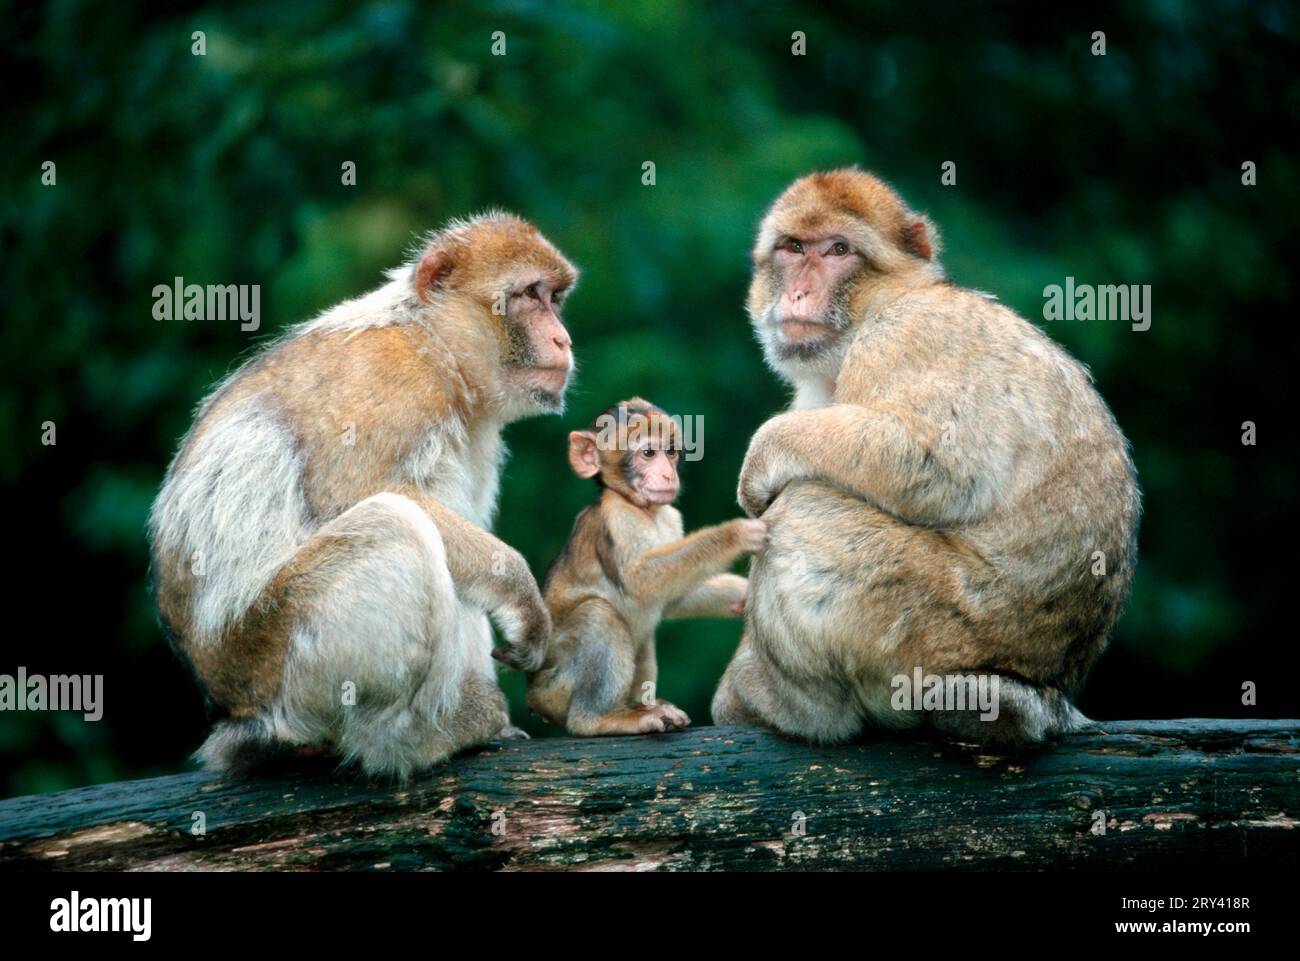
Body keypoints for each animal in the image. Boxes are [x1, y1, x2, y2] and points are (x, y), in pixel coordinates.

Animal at [148, 211, 578, 778]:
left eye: (555, 298)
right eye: (529, 295)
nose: (563, 339)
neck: (438, 350)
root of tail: (236, 713)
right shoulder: (391, 379)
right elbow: (353, 490)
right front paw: (520, 592)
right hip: (286, 662)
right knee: (395, 525)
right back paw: (412, 739)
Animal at [526, 399, 767, 735]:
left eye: (671, 452)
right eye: (649, 453)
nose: (667, 474)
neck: (644, 510)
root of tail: (534, 697)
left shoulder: (671, 518)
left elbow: (675, 598)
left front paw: (742, 594)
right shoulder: (620, 518)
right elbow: (641, 581)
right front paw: (738, 534)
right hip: (555, 686)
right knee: (599, 616)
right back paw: (601, 718)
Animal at [711, 168, 1140, 748]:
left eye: (839, 250)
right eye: (794, 247)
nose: (799, 291)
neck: (883, 304)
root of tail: (1050, 694)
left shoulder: (902, 337)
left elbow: (938, 465)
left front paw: (764, 455)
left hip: (942, 630)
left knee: (804, 512)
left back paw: (790, 708)